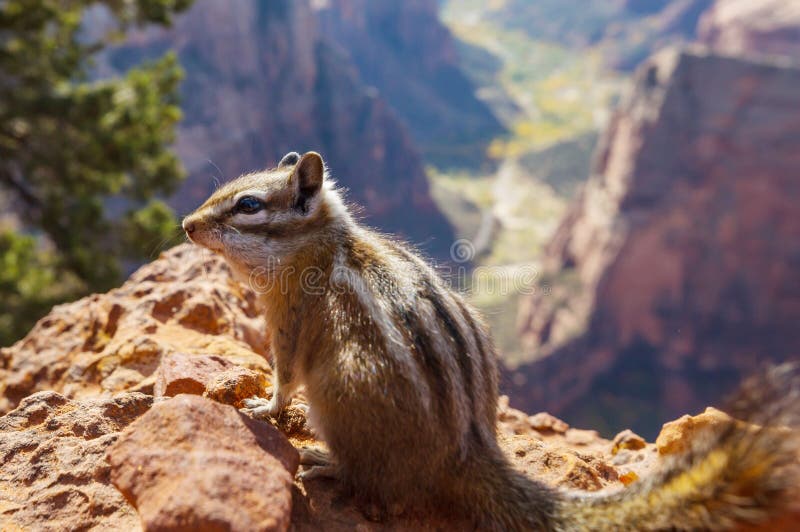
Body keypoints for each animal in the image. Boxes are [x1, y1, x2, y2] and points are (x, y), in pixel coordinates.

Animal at [183, 151, 799, 530]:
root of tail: (468, 451)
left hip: (342, 392)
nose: (187, 225)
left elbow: (285, 375)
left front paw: (263, 405)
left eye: (248, 205)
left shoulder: (290, 319)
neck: (319, 243)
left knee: (379, 481)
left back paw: (326, 462)